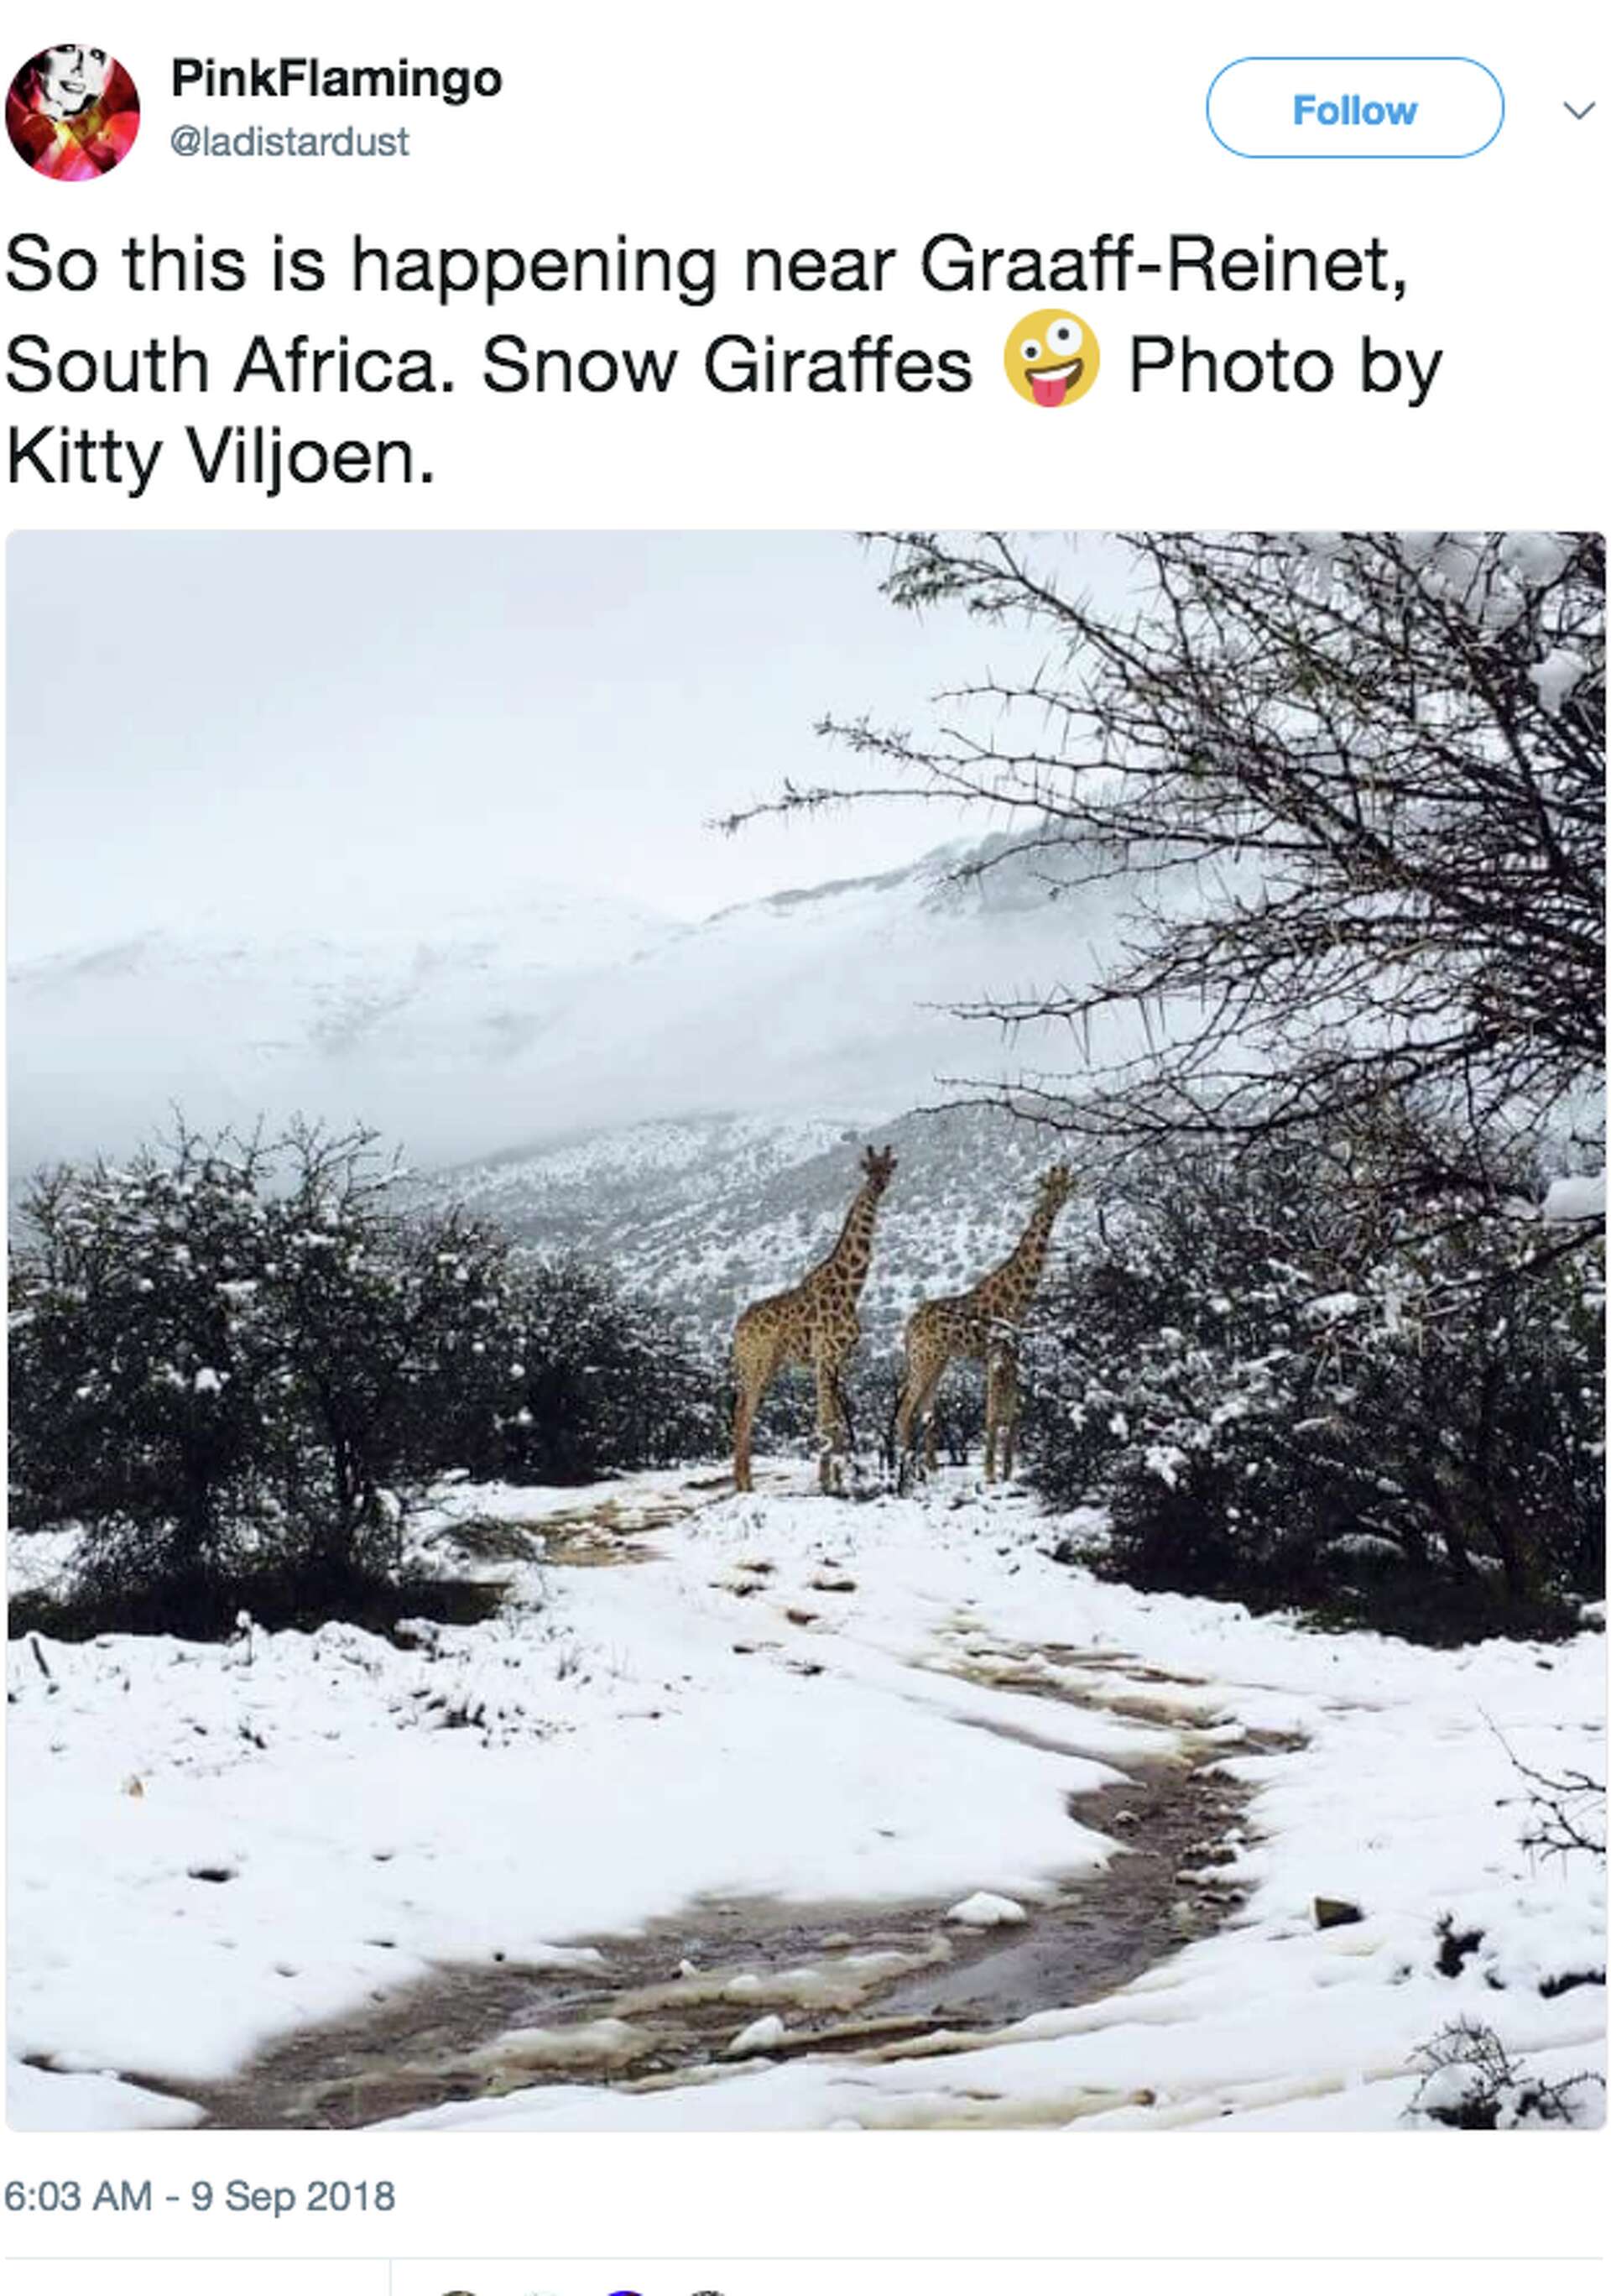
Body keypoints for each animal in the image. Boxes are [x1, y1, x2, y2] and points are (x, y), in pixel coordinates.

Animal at [731, 1144, 898, 1495]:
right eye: (869, 1168)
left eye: (889, 1168)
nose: (879, 1186)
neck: (851, 1287)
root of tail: (737, 1330)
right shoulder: (825, 1356)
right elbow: (826, 1421)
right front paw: (827, 1483)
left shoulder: (839, 1360)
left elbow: (836, 1423)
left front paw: (840, 1481)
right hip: (757, 1363)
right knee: (744, 1413)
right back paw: (745, 1485)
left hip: (761, 1366)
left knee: (742, 1411)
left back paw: (742, 1481)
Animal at [895, 1163, 1076, 1483]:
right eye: (1049, 1186)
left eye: (1065, 1184)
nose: (1058, 1200)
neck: (1017, 1294)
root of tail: (908, 1328)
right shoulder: (996, 1350)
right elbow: (993, 1412)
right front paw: (991, 1473)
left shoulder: (1012, 1351)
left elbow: (1013, 1409)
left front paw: (1008, 1471)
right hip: (924, 1359)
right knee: (906, 1408)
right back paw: (908, 1471)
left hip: (938, 1361)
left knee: (925, 1408)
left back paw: (931, 1469)